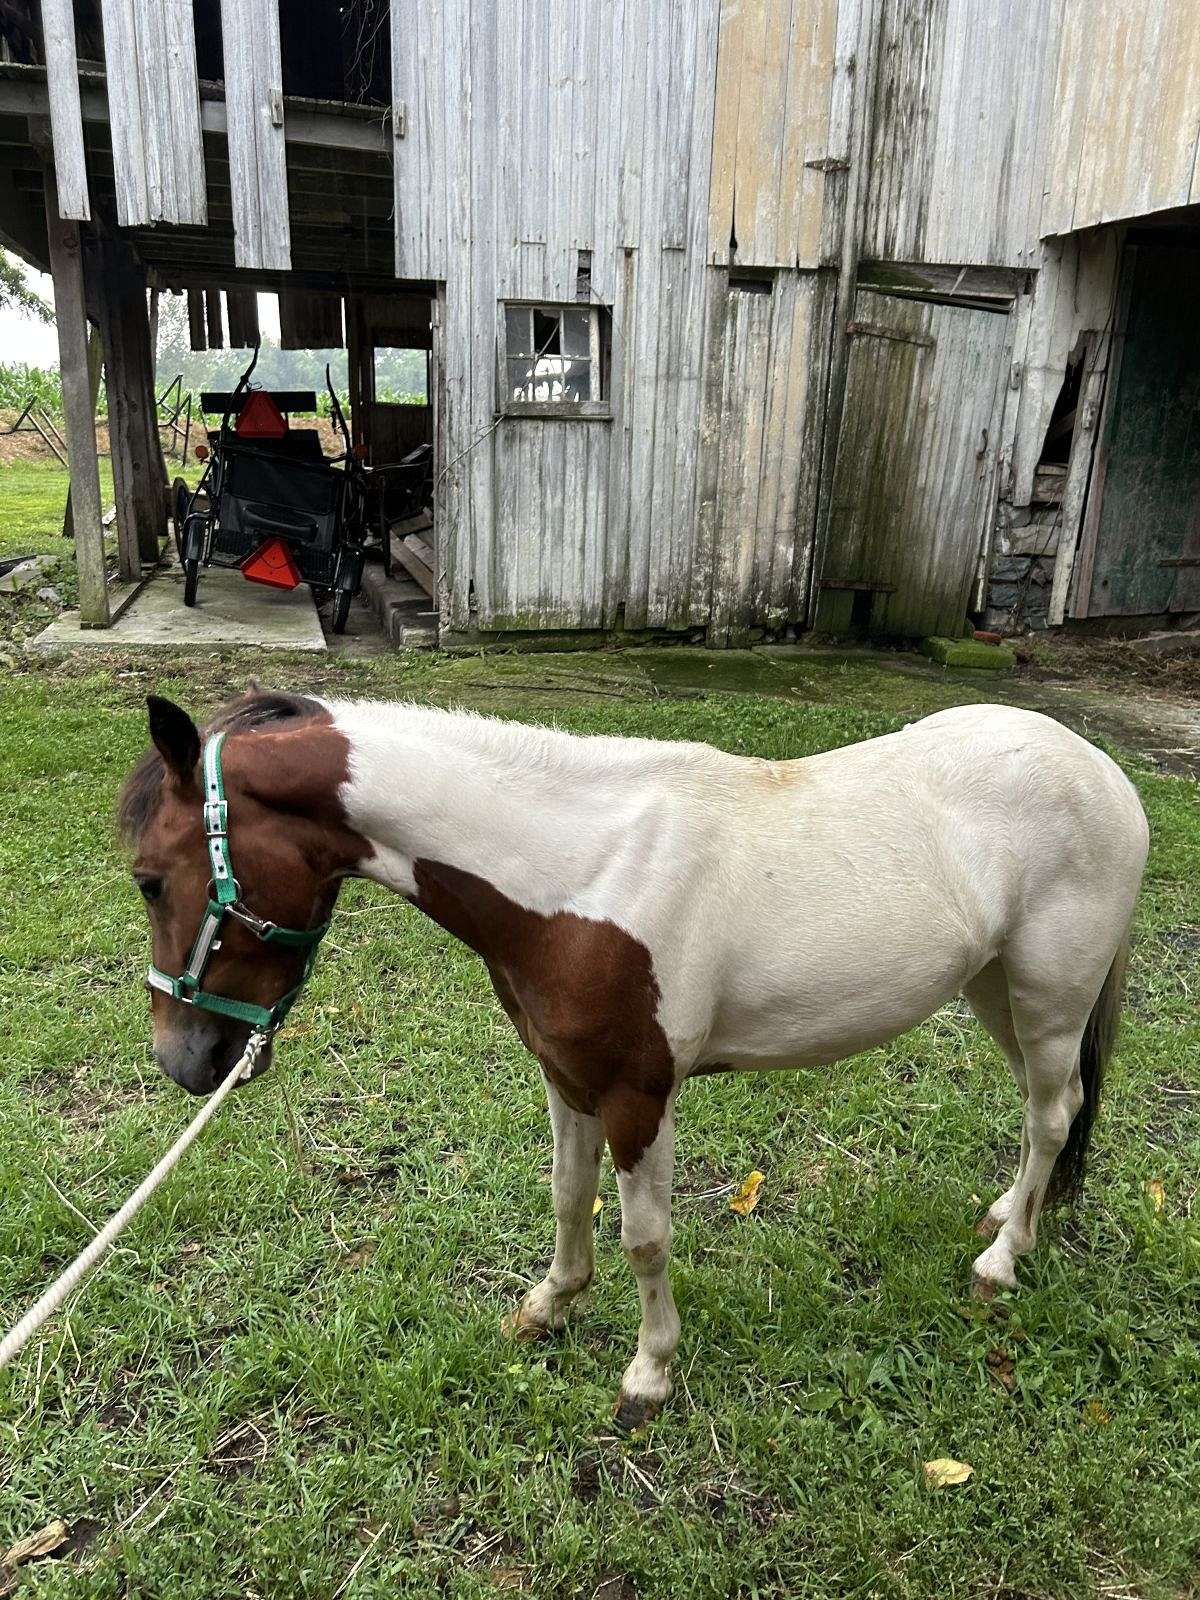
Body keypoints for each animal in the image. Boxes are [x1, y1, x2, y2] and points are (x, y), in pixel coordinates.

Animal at [119, 691, 1148, 1427]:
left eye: (150, 878)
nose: (185, 1060)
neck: (580, 873)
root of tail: (1105, 773)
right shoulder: (565, 1078)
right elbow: (567, 1195)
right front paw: (548, 1307)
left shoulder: (637, 1095)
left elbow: (644, 1237)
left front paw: (647, 1375)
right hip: (995, 990)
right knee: (1043, 1112)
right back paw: (1007, 1213)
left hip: (1048, 996)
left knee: (1053, 1115)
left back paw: (1001, 1262)